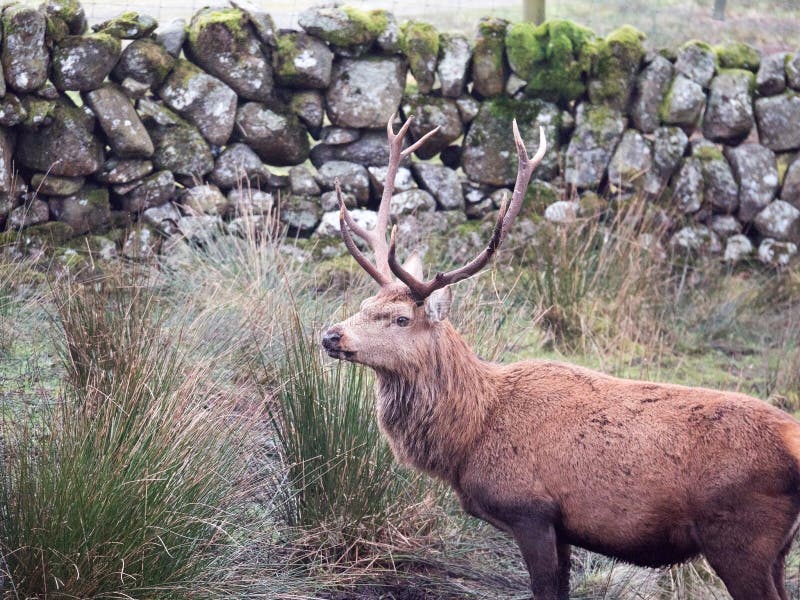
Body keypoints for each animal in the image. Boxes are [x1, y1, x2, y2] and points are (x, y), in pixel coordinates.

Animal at [321, 115, 800, 600]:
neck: (468, 437)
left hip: (739, 536)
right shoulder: (564, 529)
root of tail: (792, 438)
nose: (330, 335)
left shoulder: (531, 511)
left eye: (401, 319)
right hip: (774, 548)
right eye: (365, 304)